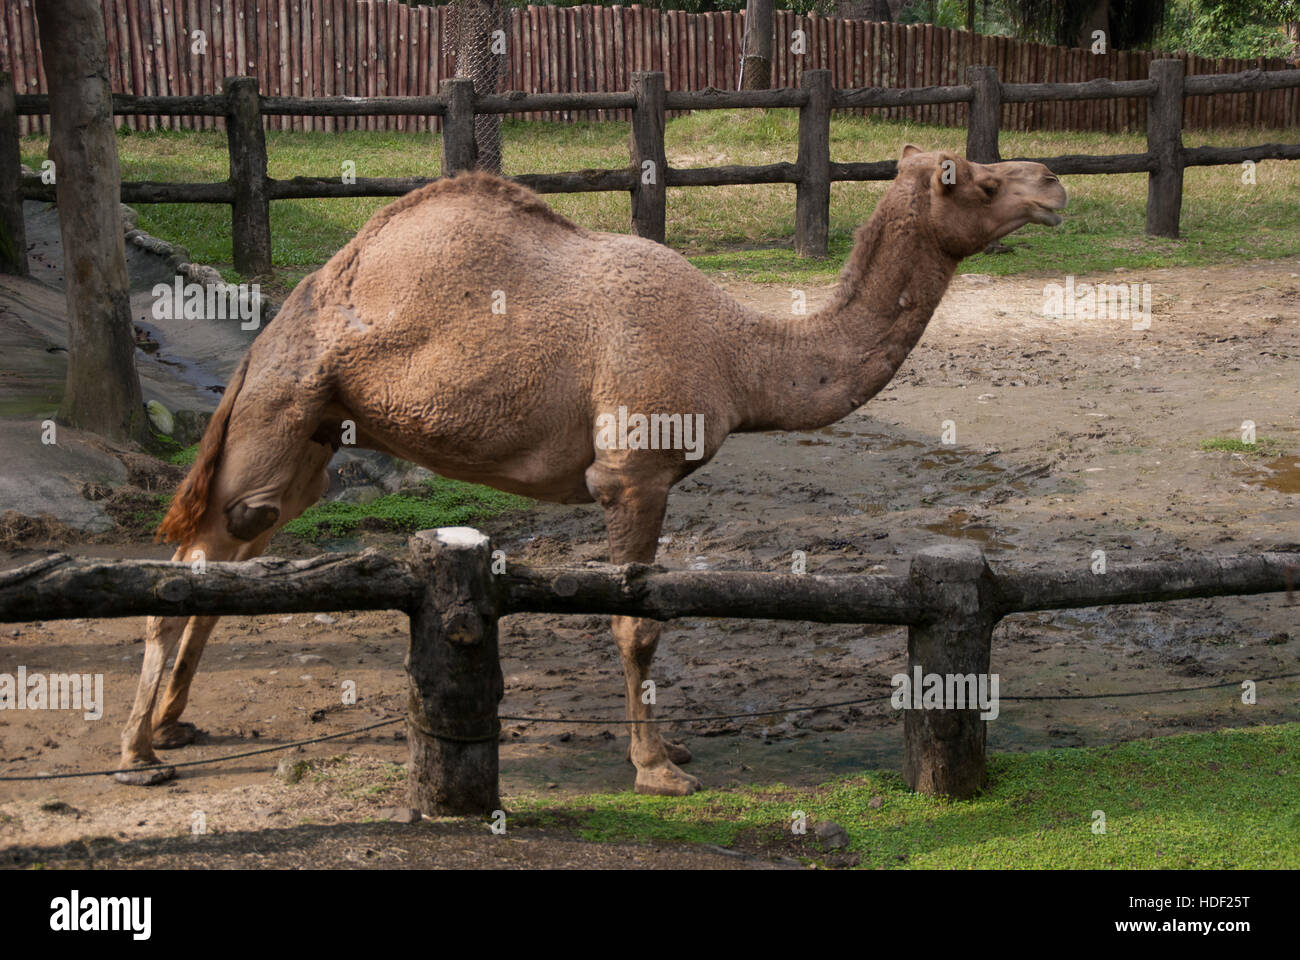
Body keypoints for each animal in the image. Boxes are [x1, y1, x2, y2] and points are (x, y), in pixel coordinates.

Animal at [117, 145, 1066, 795]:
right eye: (977, 181)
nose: (1054, 181)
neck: (740, 355)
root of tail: (273, 330)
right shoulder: (633, 473)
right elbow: (637, 624)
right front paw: (658, 769)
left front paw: (668, 747)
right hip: (281, 413)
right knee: (196, 561)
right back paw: (136, 752)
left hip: (311, 434)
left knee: (230, 560)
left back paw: (174, 725)